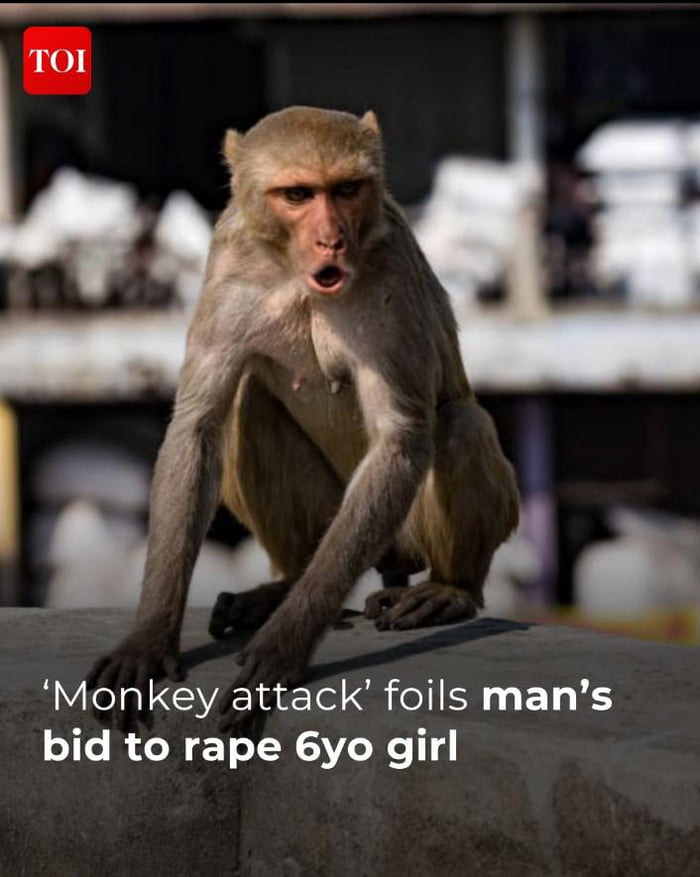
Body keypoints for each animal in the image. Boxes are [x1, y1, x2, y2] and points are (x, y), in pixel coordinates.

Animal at [86, 107, 519, 733]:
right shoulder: (228, 266)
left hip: (397, 532)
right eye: (297, 194)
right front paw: (148, 637)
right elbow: (198, 426)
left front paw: (286, 643)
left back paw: (449, 589)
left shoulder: (389, 278)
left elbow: (401, 439)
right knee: (250, 409)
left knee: (460, 424)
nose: (331, 238)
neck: (294, 275)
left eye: (345, 189)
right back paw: (284, 584)